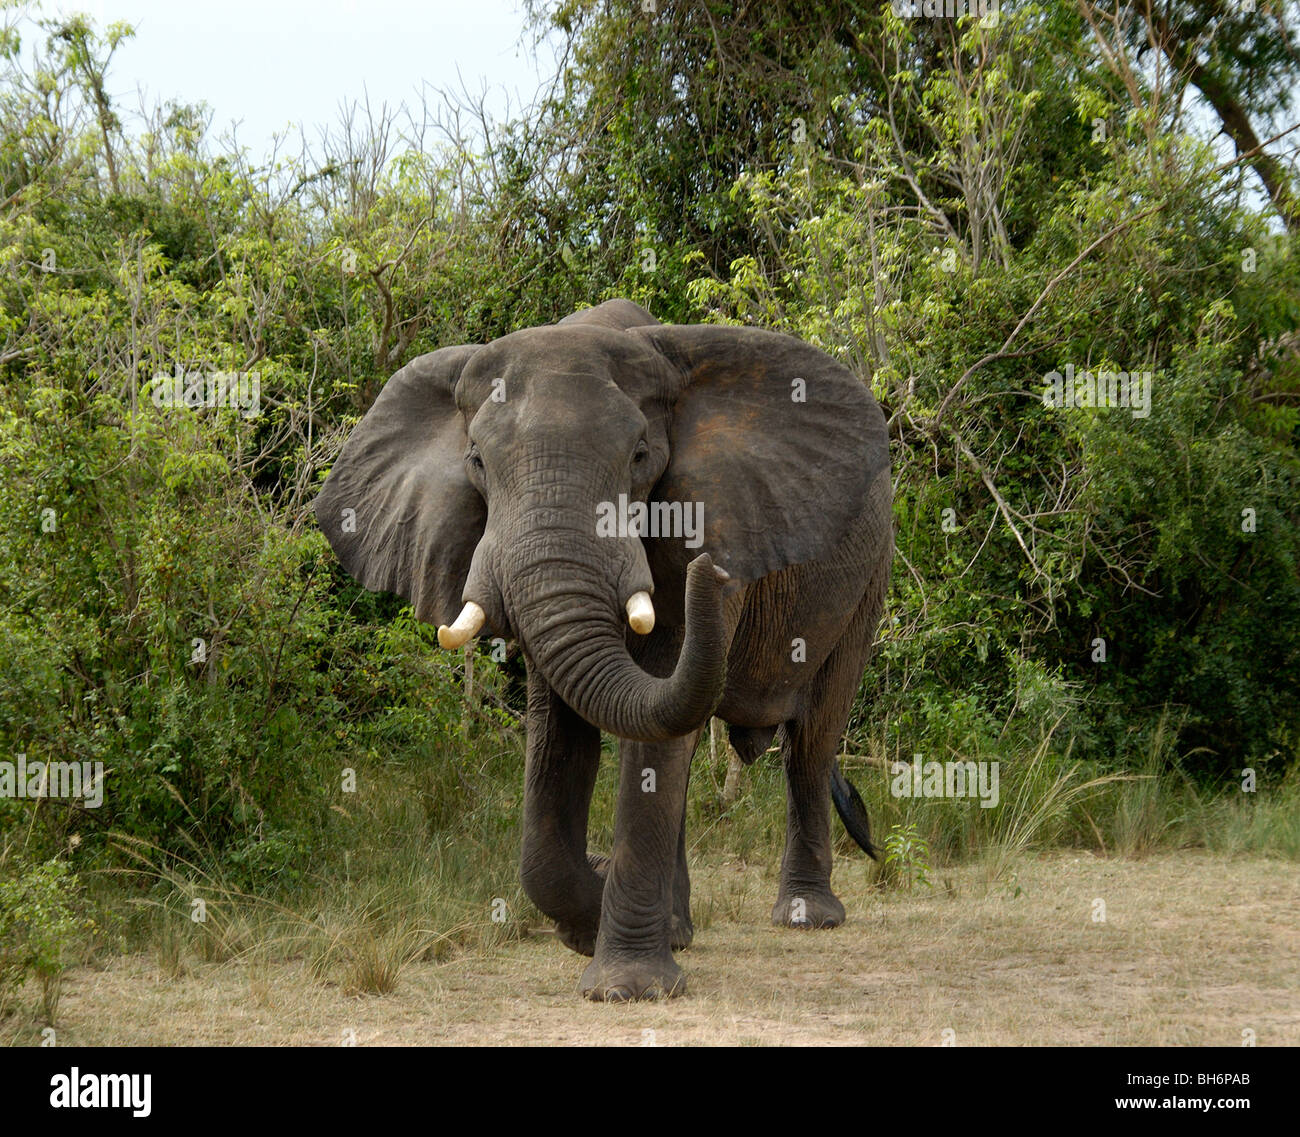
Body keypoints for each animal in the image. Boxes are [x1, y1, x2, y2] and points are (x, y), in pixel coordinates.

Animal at [313, 298, 893, 1001]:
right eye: (476, 461)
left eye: (640, 455)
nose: (712, 572)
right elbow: (560, 731)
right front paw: (592, 923)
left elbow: (658, 703)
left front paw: (628, 986)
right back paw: (679, 929)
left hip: (870, 566)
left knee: (813, 735)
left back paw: (806, 918)